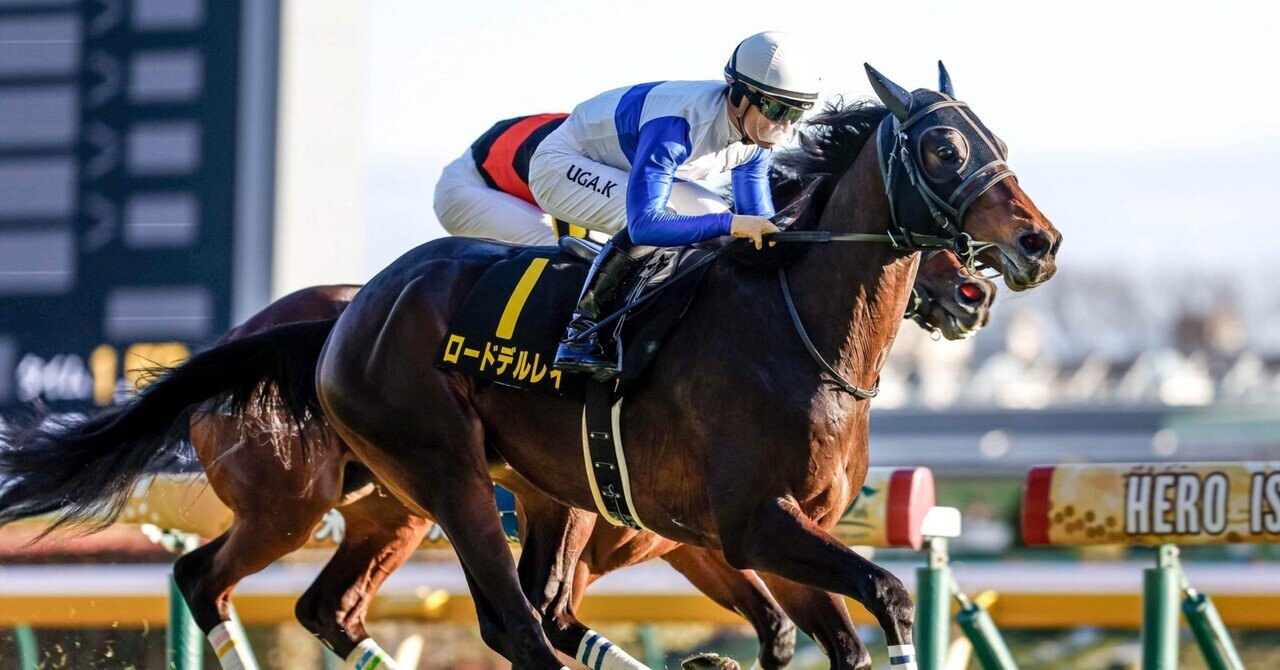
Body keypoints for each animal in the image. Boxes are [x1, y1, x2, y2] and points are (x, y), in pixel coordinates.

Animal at [0, 64, 1056, 670]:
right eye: (941, 145)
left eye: (1000, 140)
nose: (1032, 247)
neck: (793, 325)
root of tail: (339, 321)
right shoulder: (748, 525)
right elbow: (880, 598)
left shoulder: (748, 536)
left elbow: (816, 631)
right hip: (401, 480)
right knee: (498, 622)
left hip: (410, 505)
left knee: (336, 606)